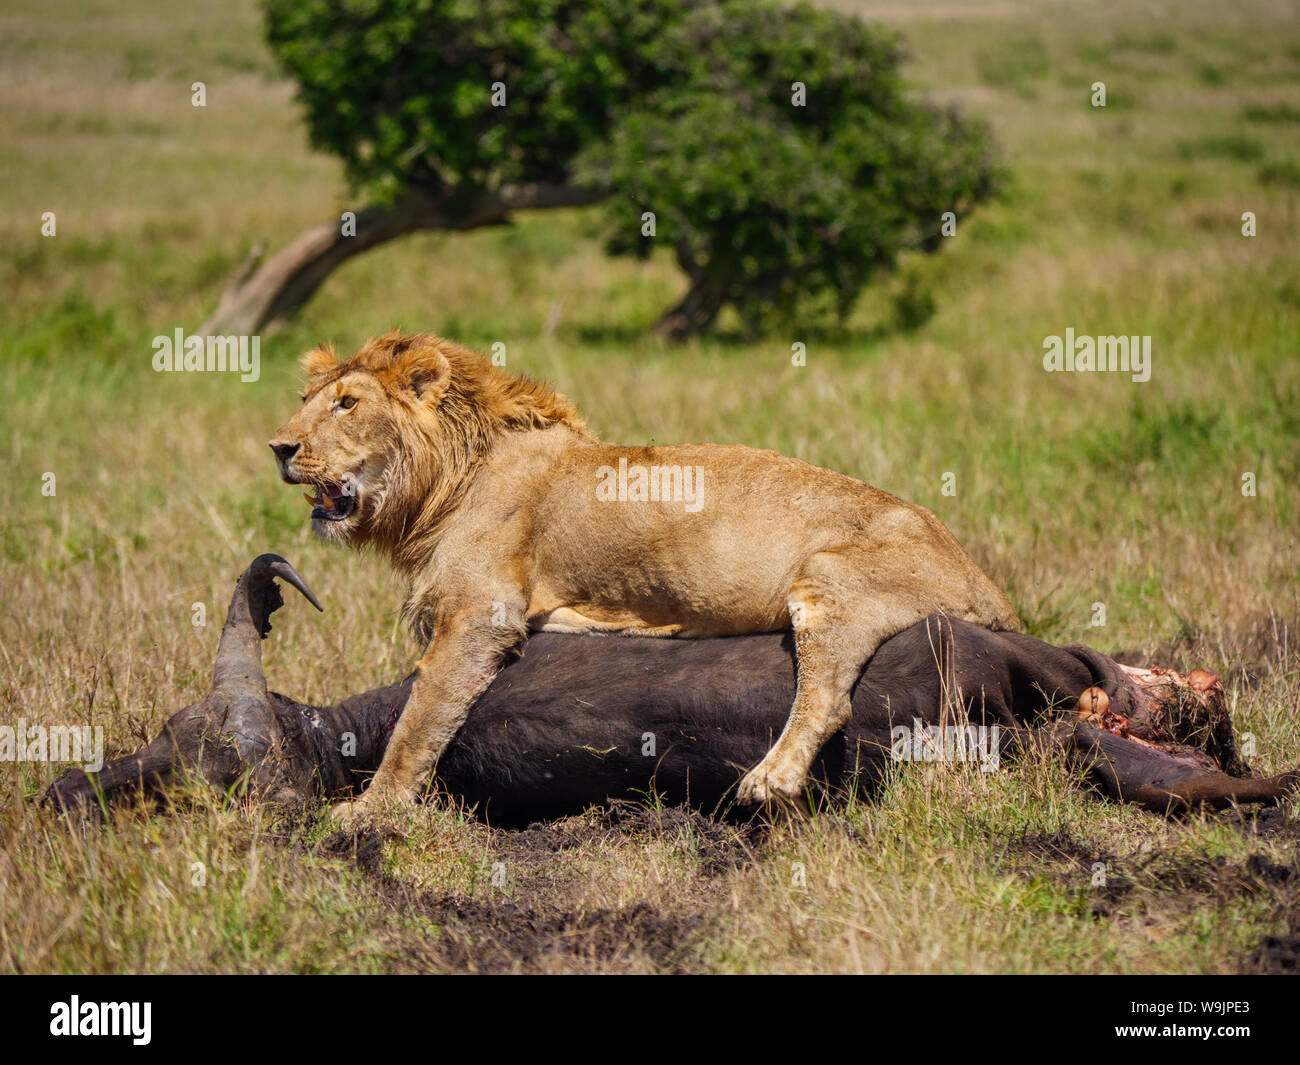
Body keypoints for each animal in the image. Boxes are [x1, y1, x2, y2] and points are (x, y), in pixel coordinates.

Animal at [269, 331, 1019, 819]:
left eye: (346, 403)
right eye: (307, 399)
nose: (278, 446)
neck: (443, 478)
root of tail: (989, 588)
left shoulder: (481, 614)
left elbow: (420, 717)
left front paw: (370, 809)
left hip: (827, 571)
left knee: (827, 697)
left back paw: (769, 780)